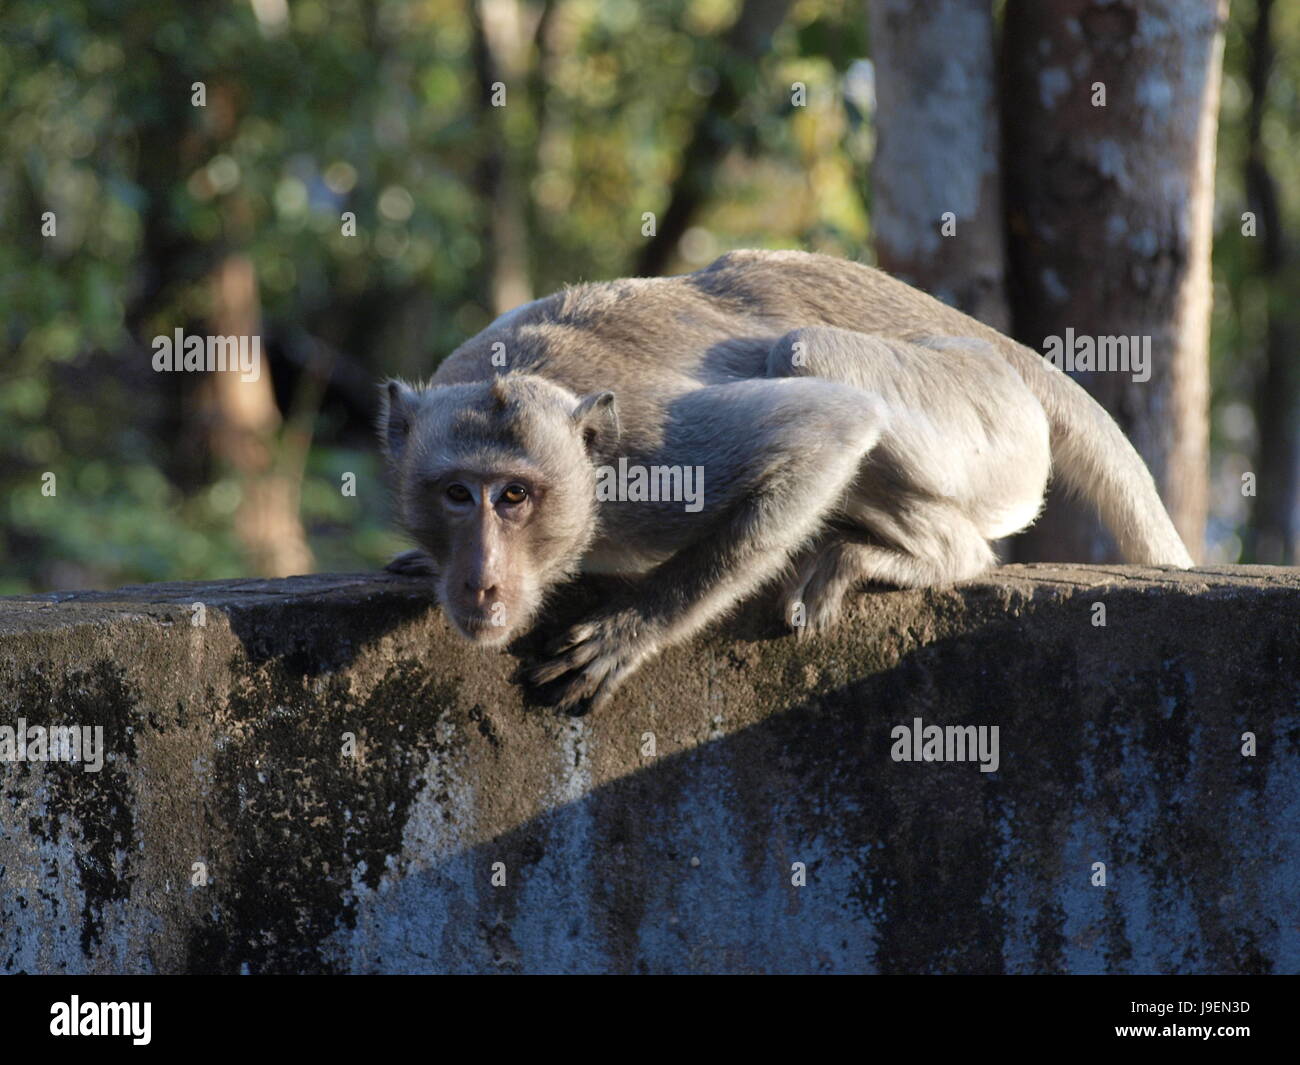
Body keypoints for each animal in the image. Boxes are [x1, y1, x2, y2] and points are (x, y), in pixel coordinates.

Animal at [378, 249, 1193, 714]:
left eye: (514, 495)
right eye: (458, 495)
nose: (481, 581)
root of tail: (994, 344)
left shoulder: (653, 459)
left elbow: (825, 424)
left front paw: (637, 624)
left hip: (990, 423)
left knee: (810, 352)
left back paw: (925, 556)